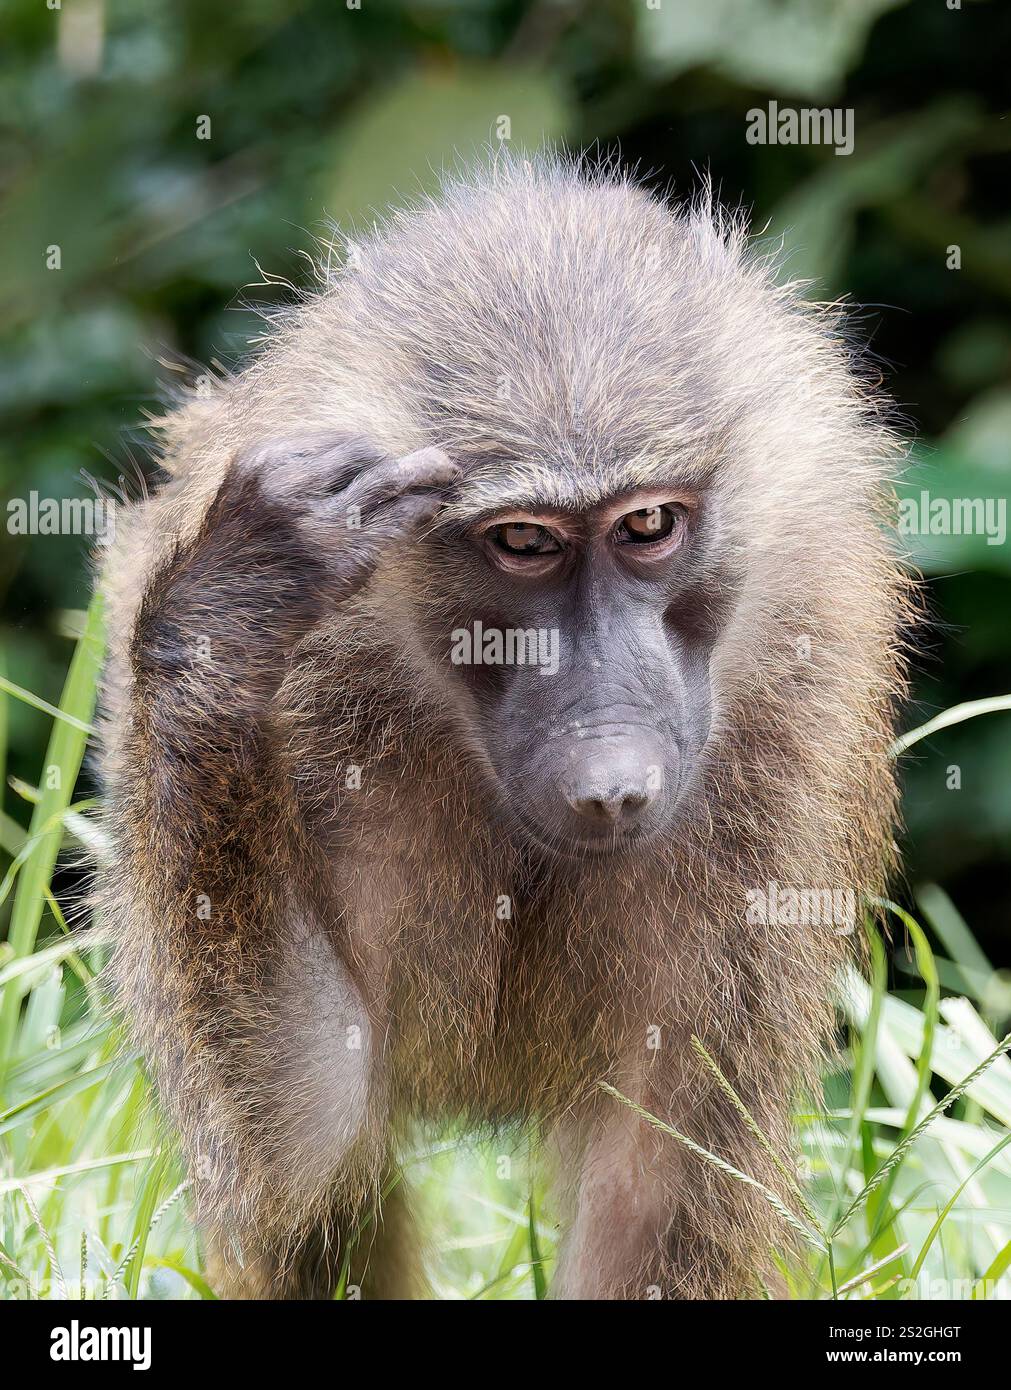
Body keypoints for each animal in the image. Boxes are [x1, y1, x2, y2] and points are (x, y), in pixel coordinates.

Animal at [95, 154, 911, 1300]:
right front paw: (243, 592)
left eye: (647, 525)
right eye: (522, 543)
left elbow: (649, 1189)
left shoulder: (797, 711)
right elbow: (312, 1134)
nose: (611, 782)